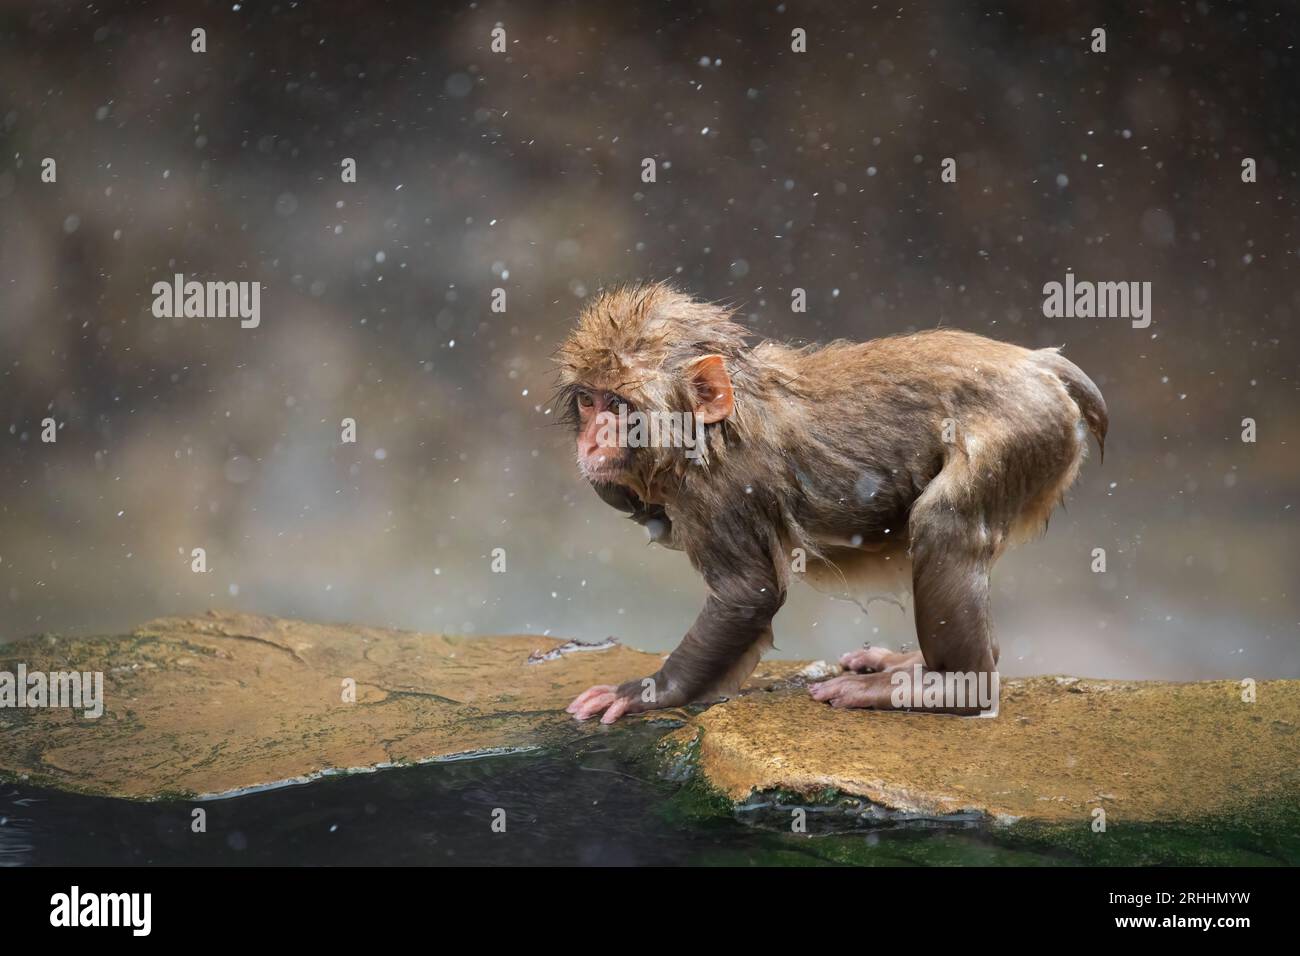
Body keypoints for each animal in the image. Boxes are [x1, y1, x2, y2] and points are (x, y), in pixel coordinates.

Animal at [555, 282, 1107, 723]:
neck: (717, 430)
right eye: (588, 401)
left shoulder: (721, 492)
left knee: (944, 522)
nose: (591, 441)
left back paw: (953, 687)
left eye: (618, 406)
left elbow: (747, 594)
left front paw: (650, 692)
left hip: (1019, 429)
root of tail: (1040, 364)